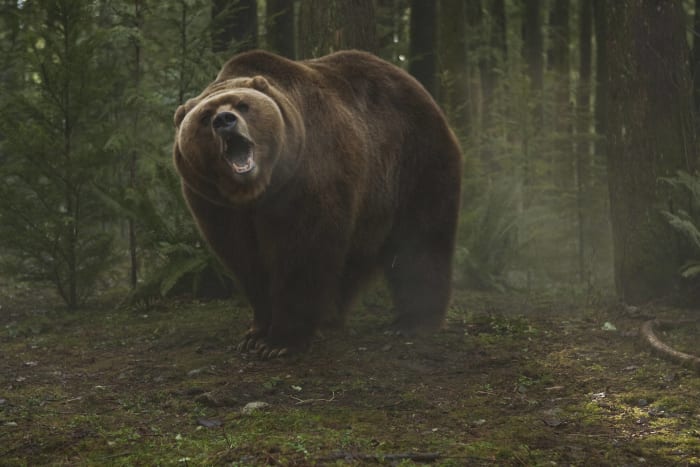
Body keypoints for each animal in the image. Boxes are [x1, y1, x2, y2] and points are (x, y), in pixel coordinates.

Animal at [173, 50, 462, 358]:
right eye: (205, 116)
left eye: (243, 104)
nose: (224, 120)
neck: (256, 190)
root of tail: (414, 83)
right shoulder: (215, 205)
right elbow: (245, 260)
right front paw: (255, 333)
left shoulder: (307, 175)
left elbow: (302, 251)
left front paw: (280, 342)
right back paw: (331, 318)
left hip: (414, 159)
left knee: (421, 240)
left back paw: (412, 322)